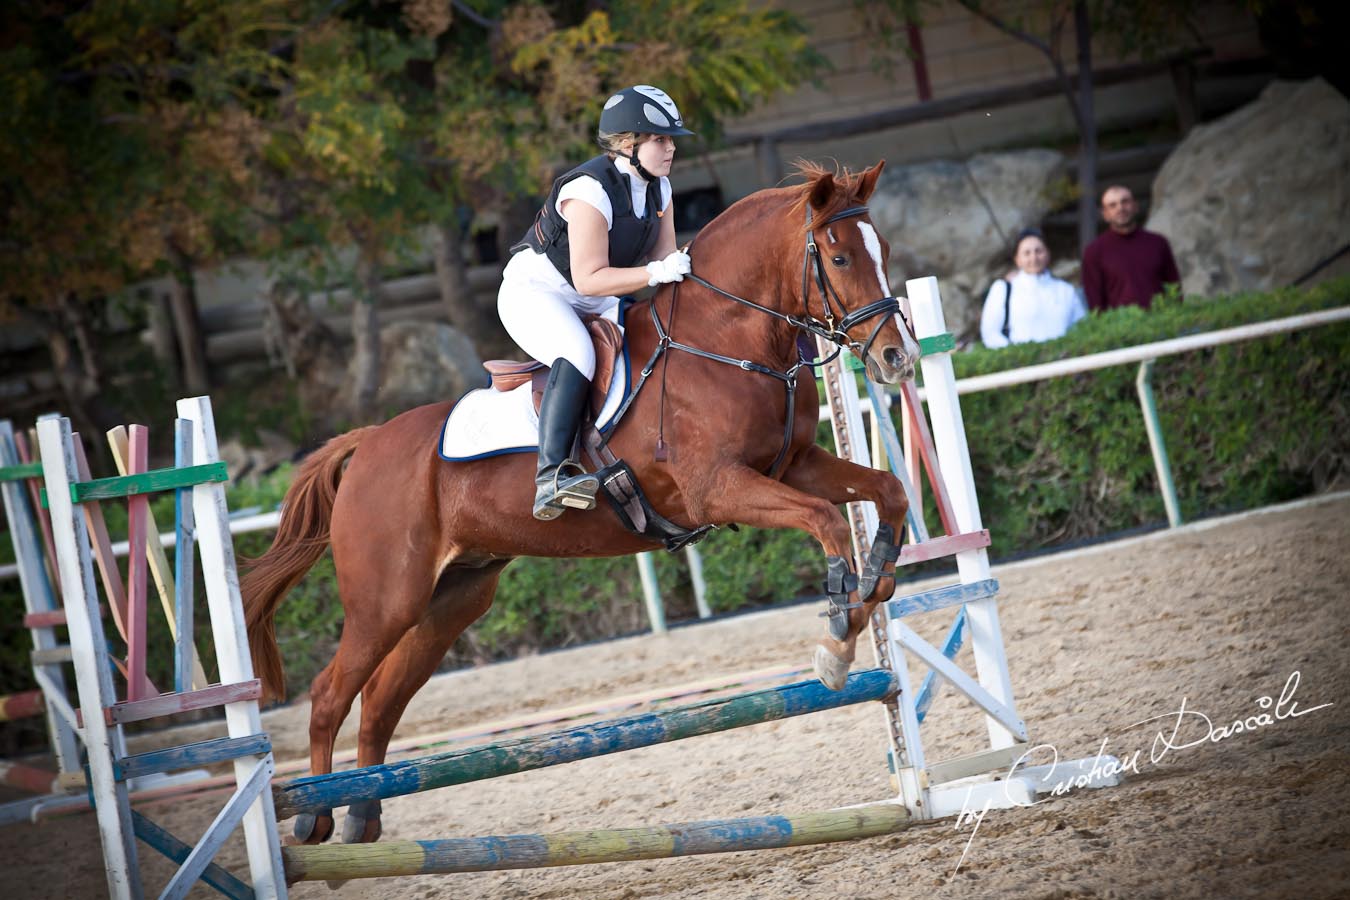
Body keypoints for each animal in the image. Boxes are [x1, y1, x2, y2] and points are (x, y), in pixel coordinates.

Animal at [242, 160, 920, 845]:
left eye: (885, 251)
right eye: (838, 257)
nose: (899, 358)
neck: (724, 339)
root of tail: (367, 443)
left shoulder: (794, 464)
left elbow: (888, 492)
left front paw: (876, 580)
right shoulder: (718, 488)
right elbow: (825, 520)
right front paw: (837, 637)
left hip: (450, 601)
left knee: (381, 701)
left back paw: (363, 817)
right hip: (387, 599)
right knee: (330, 694)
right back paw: (316, 819)